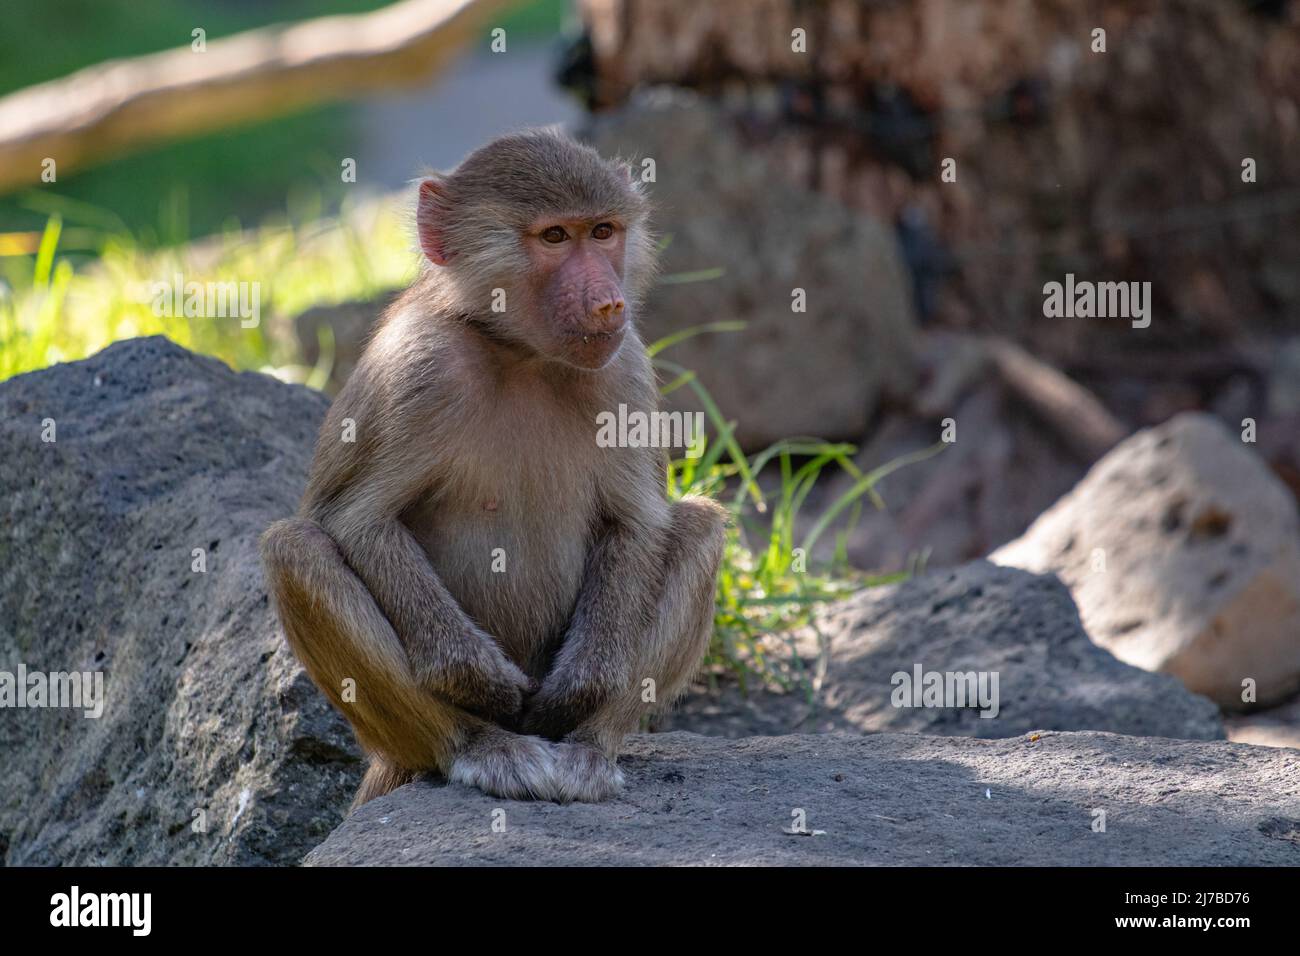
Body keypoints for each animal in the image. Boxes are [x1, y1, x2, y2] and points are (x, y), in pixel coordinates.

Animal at [260, 129, 726, 809]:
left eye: (604, 231)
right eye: (554, 236)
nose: (608, 302)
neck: (519, 352)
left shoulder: (625, 368)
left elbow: (638, 524)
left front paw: (582, 690)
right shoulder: (417, 369)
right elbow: (358, 521)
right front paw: (480, 682)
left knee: (700, 526)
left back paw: (588, 745)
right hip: (401, 740)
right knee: (295, 547)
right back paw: (479, 744)